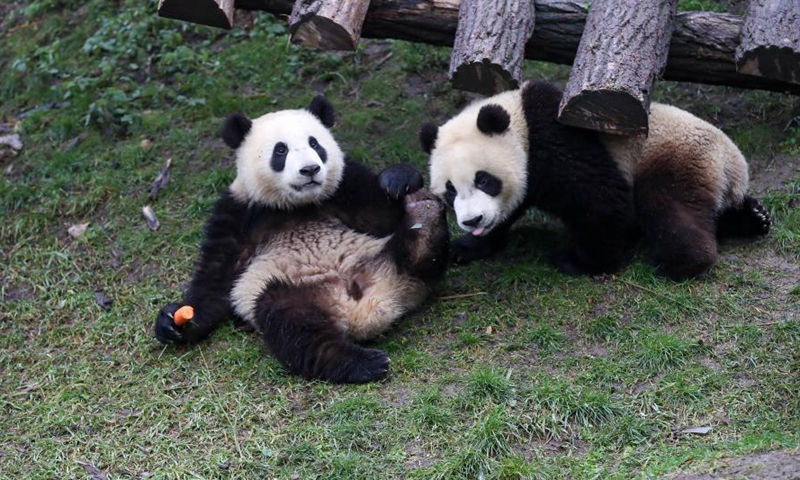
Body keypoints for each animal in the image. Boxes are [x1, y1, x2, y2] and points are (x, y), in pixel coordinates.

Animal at [154, 96, 449, 383]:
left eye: (315, 143)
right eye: (280, 151)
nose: (310, 170)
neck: (294, 206)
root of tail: (367, 306)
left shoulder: (344, 188)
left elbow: (381, 216)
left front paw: (399, 179)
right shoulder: (240, 211)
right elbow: (216, 279)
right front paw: (173, 322)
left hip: (379, 256)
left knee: (417, 257)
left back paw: (424, 219)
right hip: (291, 289)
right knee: (291, 324)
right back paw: (360, 363)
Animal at [419, 81, 771, 280]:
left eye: (484, 180)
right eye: (450, 191)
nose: (472, 220)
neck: (520, 123)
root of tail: (734, 166)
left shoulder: (556, 142)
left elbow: (599, 201)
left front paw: (582, 262)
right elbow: (511, 209)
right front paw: (469, 247)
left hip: (677, 158)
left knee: (669, 208)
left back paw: (681, 265)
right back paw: (754, 218)